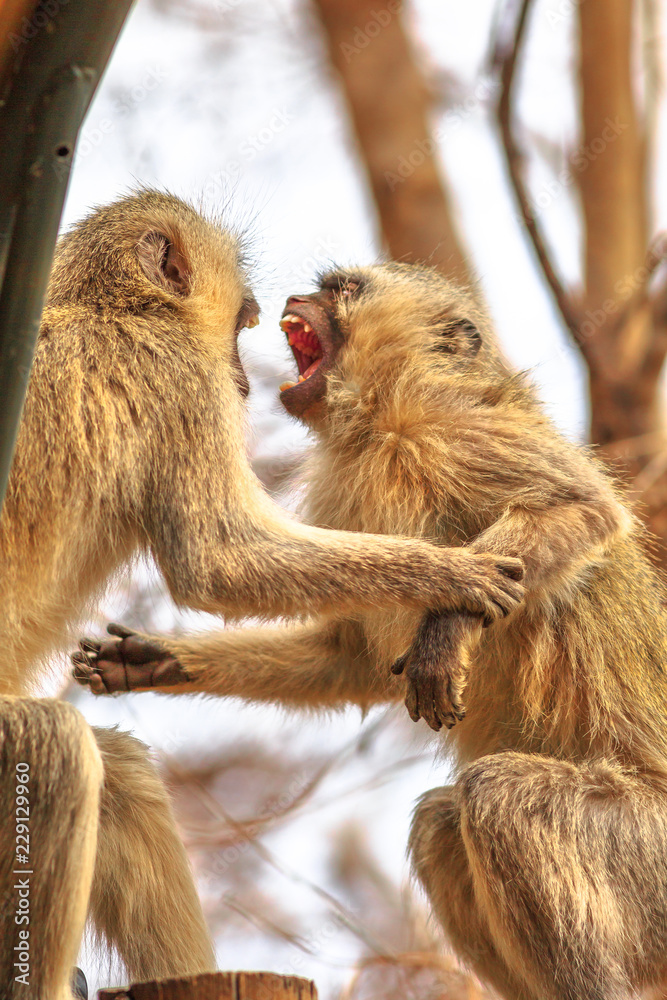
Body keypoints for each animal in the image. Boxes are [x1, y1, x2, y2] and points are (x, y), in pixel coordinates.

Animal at [1, 194, 525, 1000]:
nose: (264, 315)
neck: (107, 308)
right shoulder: (179, 378)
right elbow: (217, 562)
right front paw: (449, 573)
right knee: (51, 746)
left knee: (110, 770)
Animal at [74, 260, 667, 1000]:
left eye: (344, 290)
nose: (296, 298)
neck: (381, 420)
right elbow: (350, 657)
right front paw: (157, 659)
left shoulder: (461, 430)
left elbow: (580, 509)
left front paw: (447, 627)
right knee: (443, 824)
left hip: (648, 854)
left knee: (500, 799)